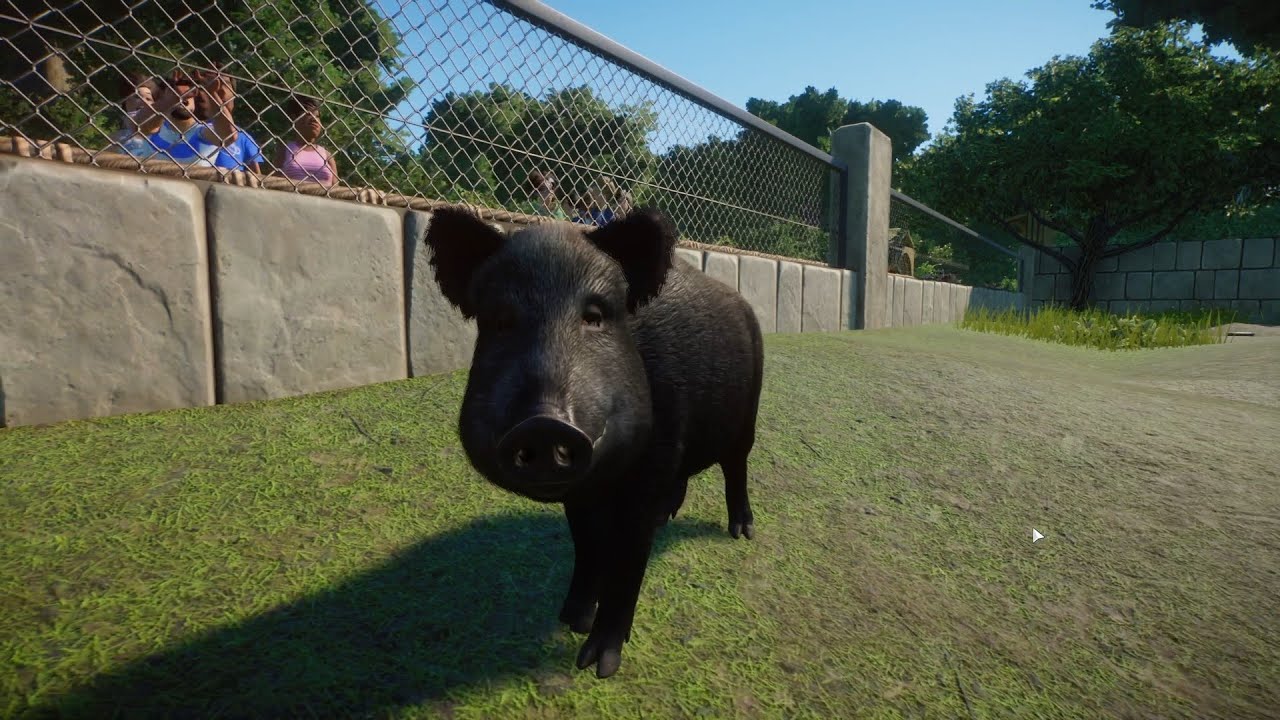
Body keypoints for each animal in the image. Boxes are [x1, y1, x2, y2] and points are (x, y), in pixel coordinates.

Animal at [424, 205, 764, 679]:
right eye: (502, 321)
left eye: (595, 315)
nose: (545, 423)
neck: (607, 483)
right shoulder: (581, 491)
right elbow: (586, 544)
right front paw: (570, 619)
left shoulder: (652, 463)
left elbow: (628, 557)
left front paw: (598, 666)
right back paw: (668, 518)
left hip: (748, 414)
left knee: (737, 467)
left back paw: (741, 532)